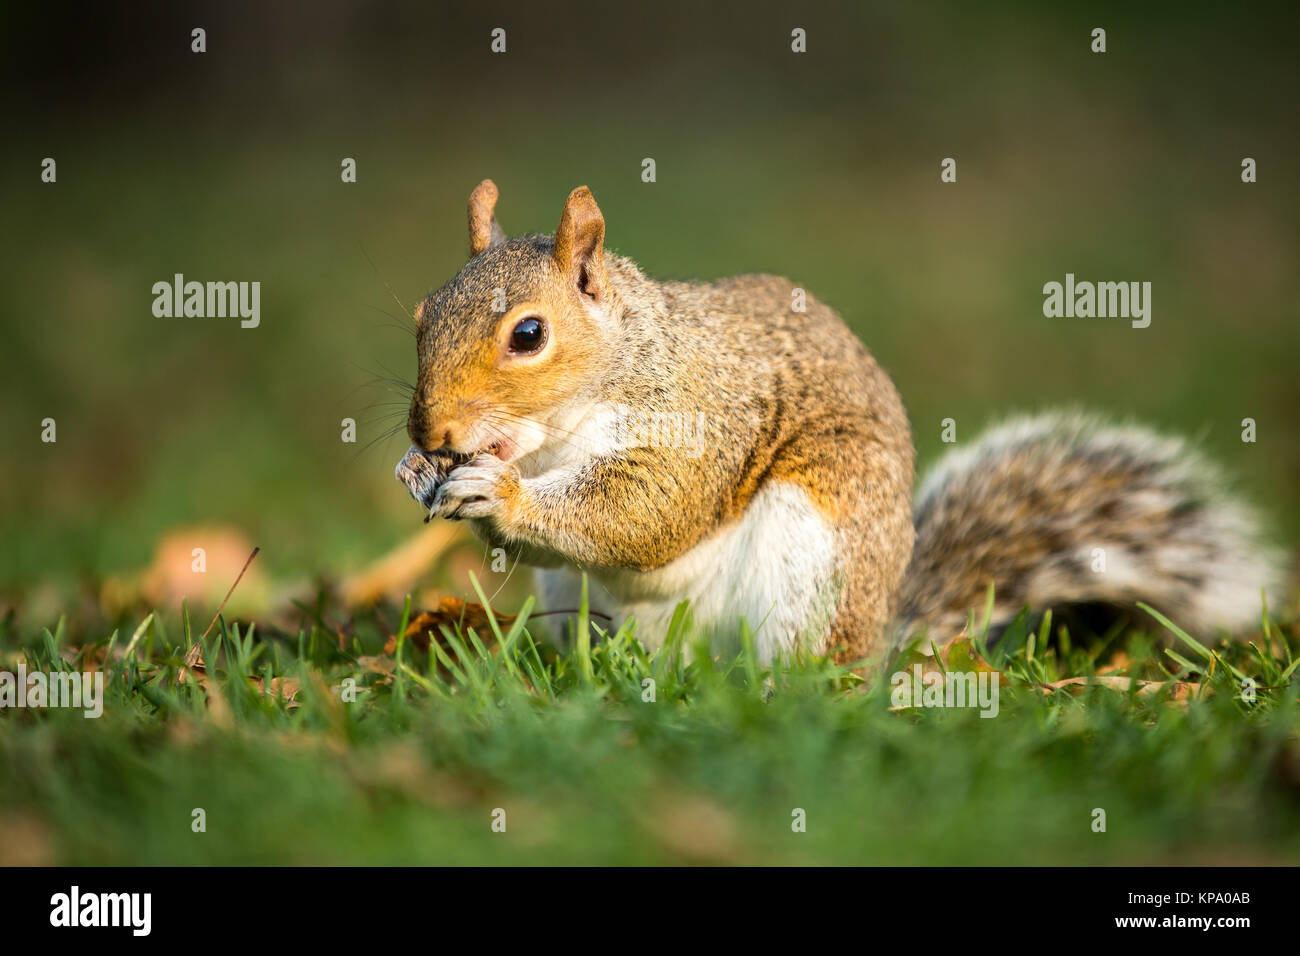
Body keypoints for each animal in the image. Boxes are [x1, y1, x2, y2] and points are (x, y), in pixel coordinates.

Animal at [395, 179, 1284, 663]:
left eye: (529, 335)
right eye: (420, 313)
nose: (431, 434)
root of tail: (882, 632)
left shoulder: (701, 419)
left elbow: (645, 512)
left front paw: (500, 496)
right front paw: (422, 475)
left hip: (814, 550)